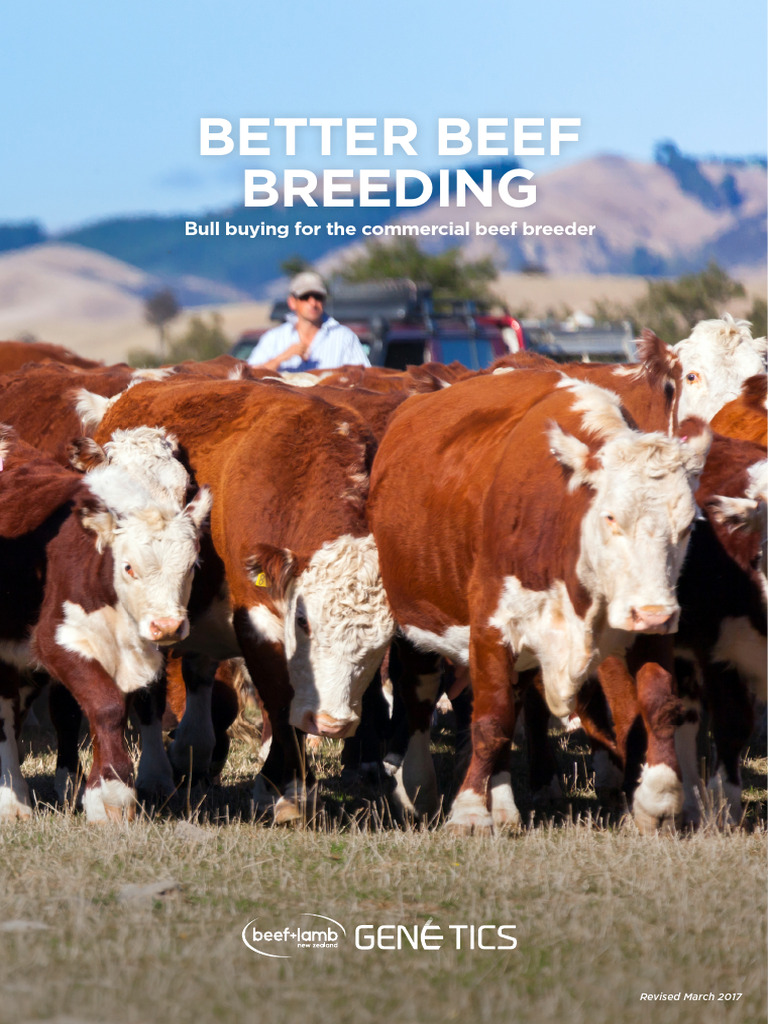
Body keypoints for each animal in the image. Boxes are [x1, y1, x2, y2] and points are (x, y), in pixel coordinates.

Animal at [0, 425, 211, 821]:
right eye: (129, 567)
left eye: (191, 566)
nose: (168, 625)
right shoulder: (56, 641)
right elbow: (105, 705)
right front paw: (112, 795)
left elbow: (133, 703)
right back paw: (12, 799)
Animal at [78, 377, 395, 823]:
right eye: (303, 623)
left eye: (382, 641)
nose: (332, 723)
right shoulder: (258, 619)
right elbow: (280, 699)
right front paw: (286, 790)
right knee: (150, 697)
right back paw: (156, 776)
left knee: (198, 678)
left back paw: (191, 753)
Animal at [368, 370, 710, 833]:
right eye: (610, 517)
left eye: (687, 525)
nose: (654, 613)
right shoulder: (490, 626)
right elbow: (489, 722)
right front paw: (470, 812)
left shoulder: (646, 625)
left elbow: (658, 704)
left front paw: (657, 798)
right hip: (414, 618)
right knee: (419, 695)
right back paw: (420, 789)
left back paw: (504, 806)